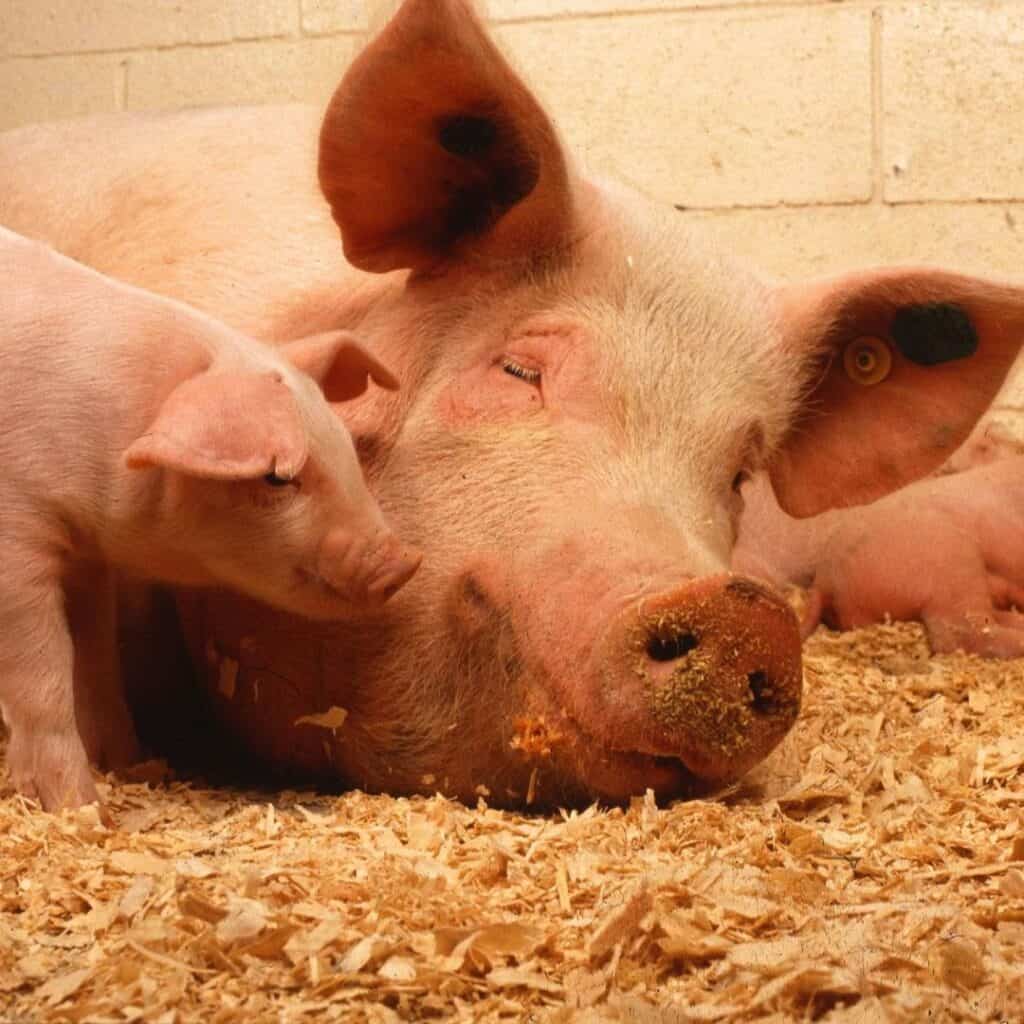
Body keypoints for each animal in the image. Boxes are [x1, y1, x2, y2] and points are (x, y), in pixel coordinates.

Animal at [0, 227, 420, 812]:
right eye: (276, 477)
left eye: (344, 444)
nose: (404, 561)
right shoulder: (15, 536)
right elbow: (44, 672)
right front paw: (79, 806)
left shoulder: (85, 554)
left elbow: (97, 658)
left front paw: (132, 767)